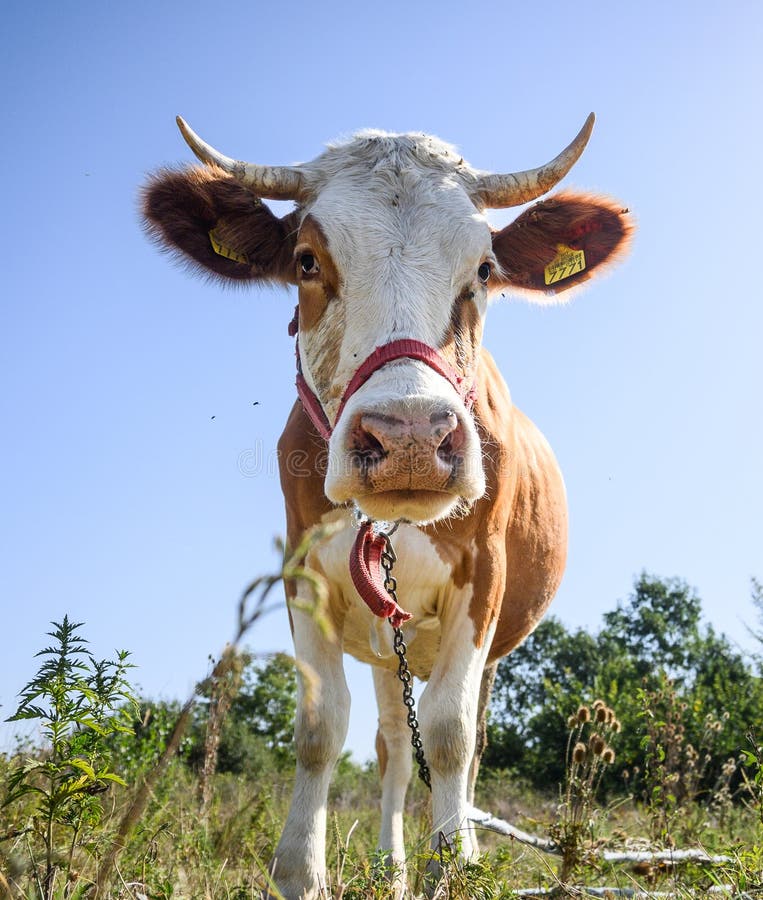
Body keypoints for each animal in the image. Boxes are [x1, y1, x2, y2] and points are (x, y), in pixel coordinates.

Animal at [142, 114, 632, 899]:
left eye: (484, 270)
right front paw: (302, 870)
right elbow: (322, 726)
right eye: (307, 261)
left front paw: (455, 864)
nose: (408, 437)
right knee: (395, 747)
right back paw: (392, 867)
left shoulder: (483, 580)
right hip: (384, 641)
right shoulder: (305, 573)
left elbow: (452, 737)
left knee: (459, 736)